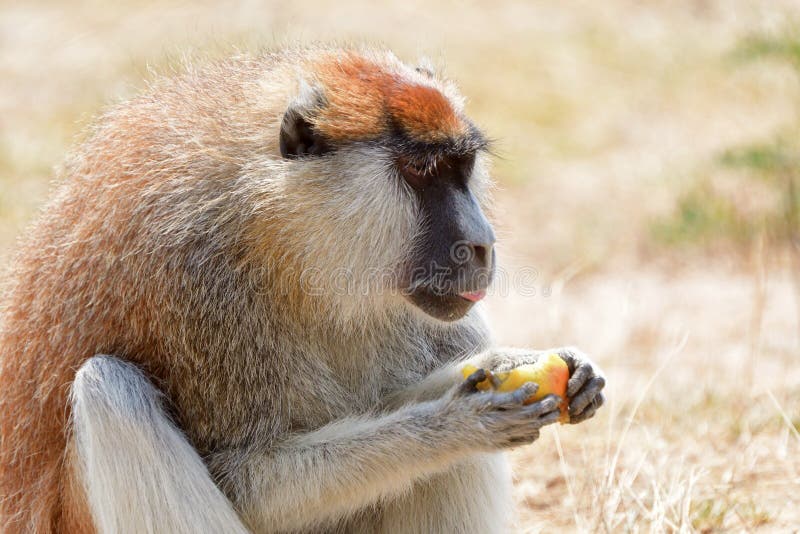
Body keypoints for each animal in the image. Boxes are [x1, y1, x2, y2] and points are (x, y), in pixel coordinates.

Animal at [0, 46, 606, 533]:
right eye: (421, 170)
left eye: (462, 166)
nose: (480, 243)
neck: (278, 226)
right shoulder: (189, 280)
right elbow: (247, 482)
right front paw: (454, 424)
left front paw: (520, 364)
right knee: (109, 391)